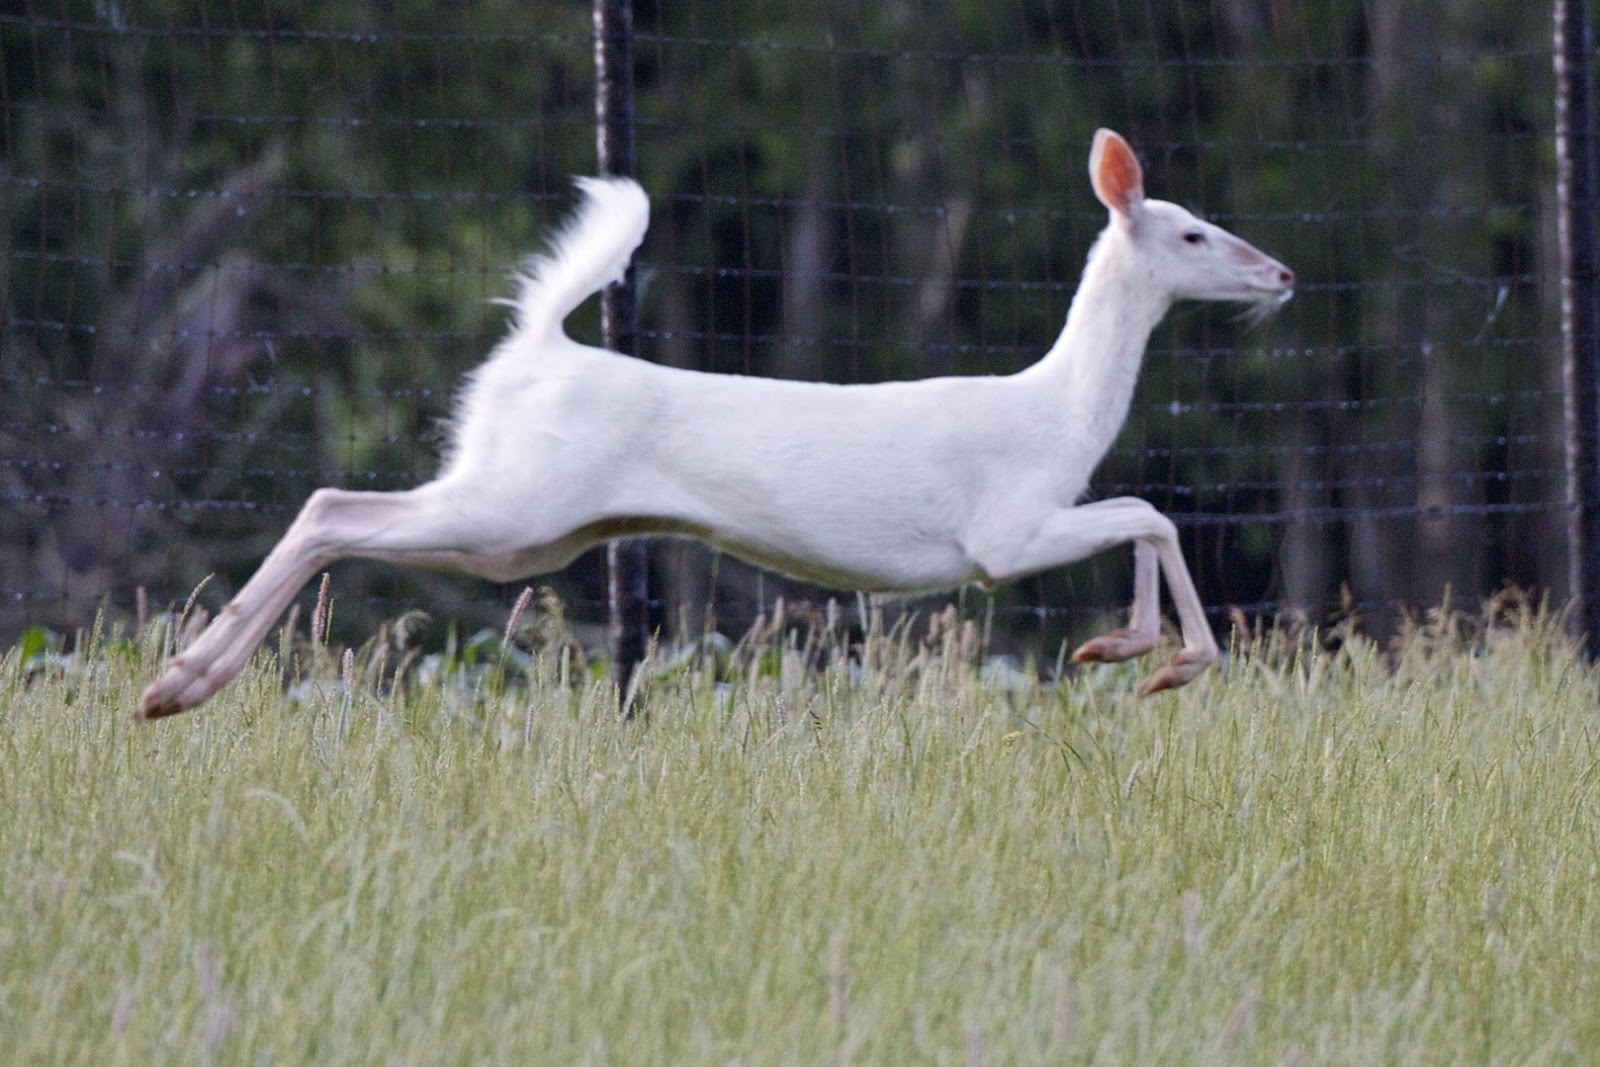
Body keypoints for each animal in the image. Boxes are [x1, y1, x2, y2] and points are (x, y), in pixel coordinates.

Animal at [138, 129, 1293, 719]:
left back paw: (183, 683)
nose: (1280, 273)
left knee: (343, 513)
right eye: (1193, 232)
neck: (1061, 413)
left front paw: (1124, 645)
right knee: (330, 503)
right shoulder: (1002, 533)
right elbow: (1150, 511)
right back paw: (178, 681)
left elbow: (1143, 514)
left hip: (529, 535)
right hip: (514, 503)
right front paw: (1166, 656)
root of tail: (535, 345)